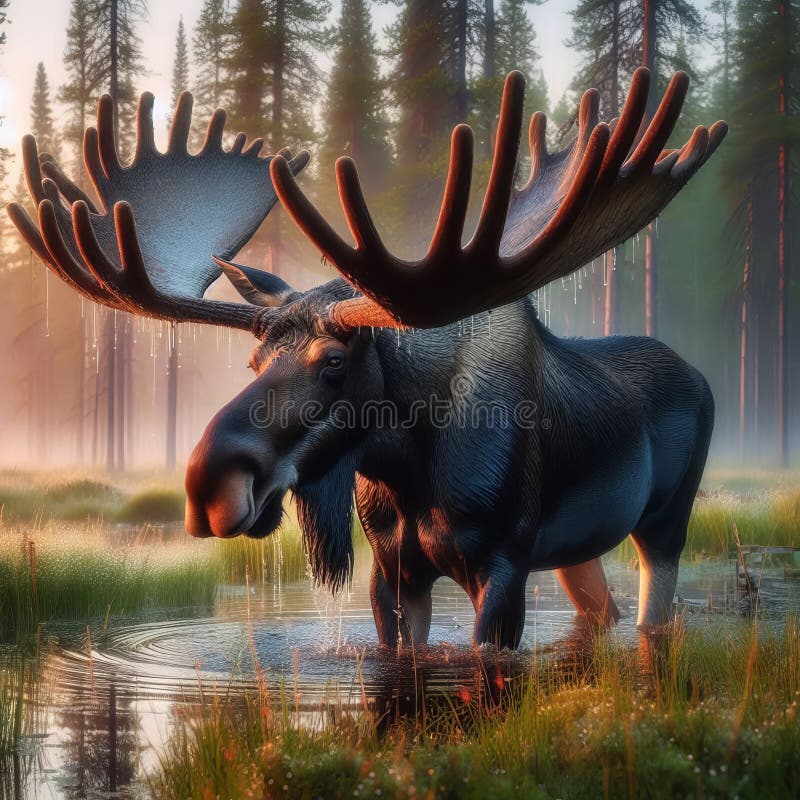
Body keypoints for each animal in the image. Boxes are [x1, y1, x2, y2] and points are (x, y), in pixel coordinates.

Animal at [8, 68, 726, 648]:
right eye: (252, 363)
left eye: (333, 361)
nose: (208, 486)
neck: (410, 473)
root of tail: (700, 376)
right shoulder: (393, 571)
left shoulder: (503, 566)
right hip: (579, 545)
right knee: (601, 609)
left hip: (665, 520)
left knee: (654, 610)